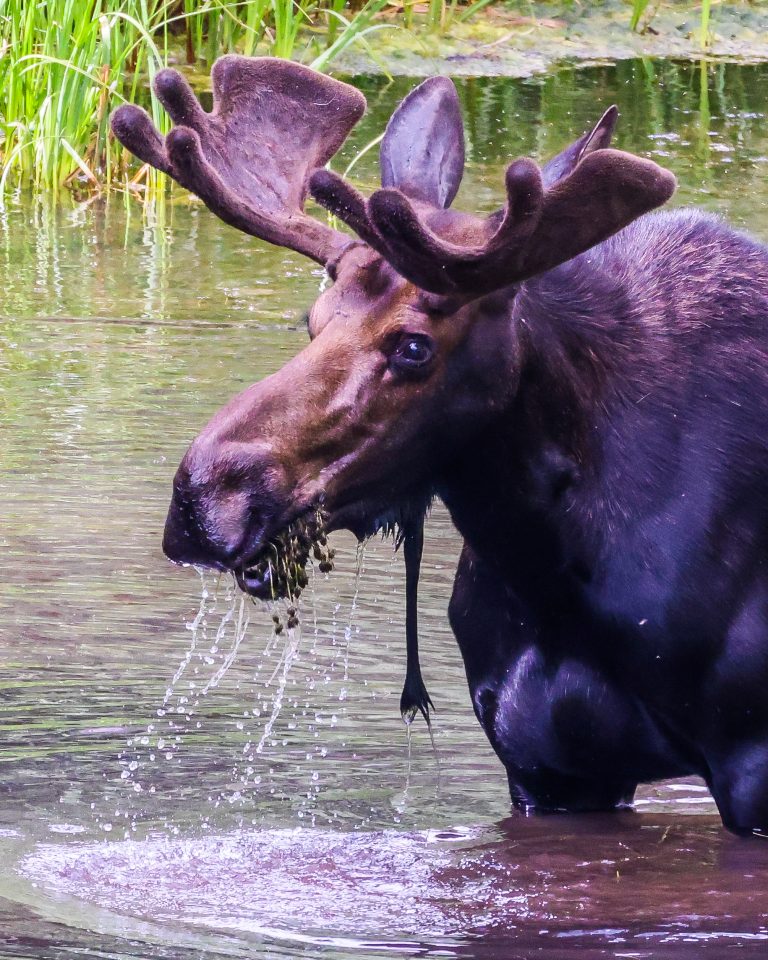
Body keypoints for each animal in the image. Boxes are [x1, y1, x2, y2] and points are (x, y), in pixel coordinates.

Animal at [112, 56, 768, 836]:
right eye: (311, 320)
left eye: (414, 346)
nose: (203, 498)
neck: (557, 566)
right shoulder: (545, 769)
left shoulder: (752, 765)